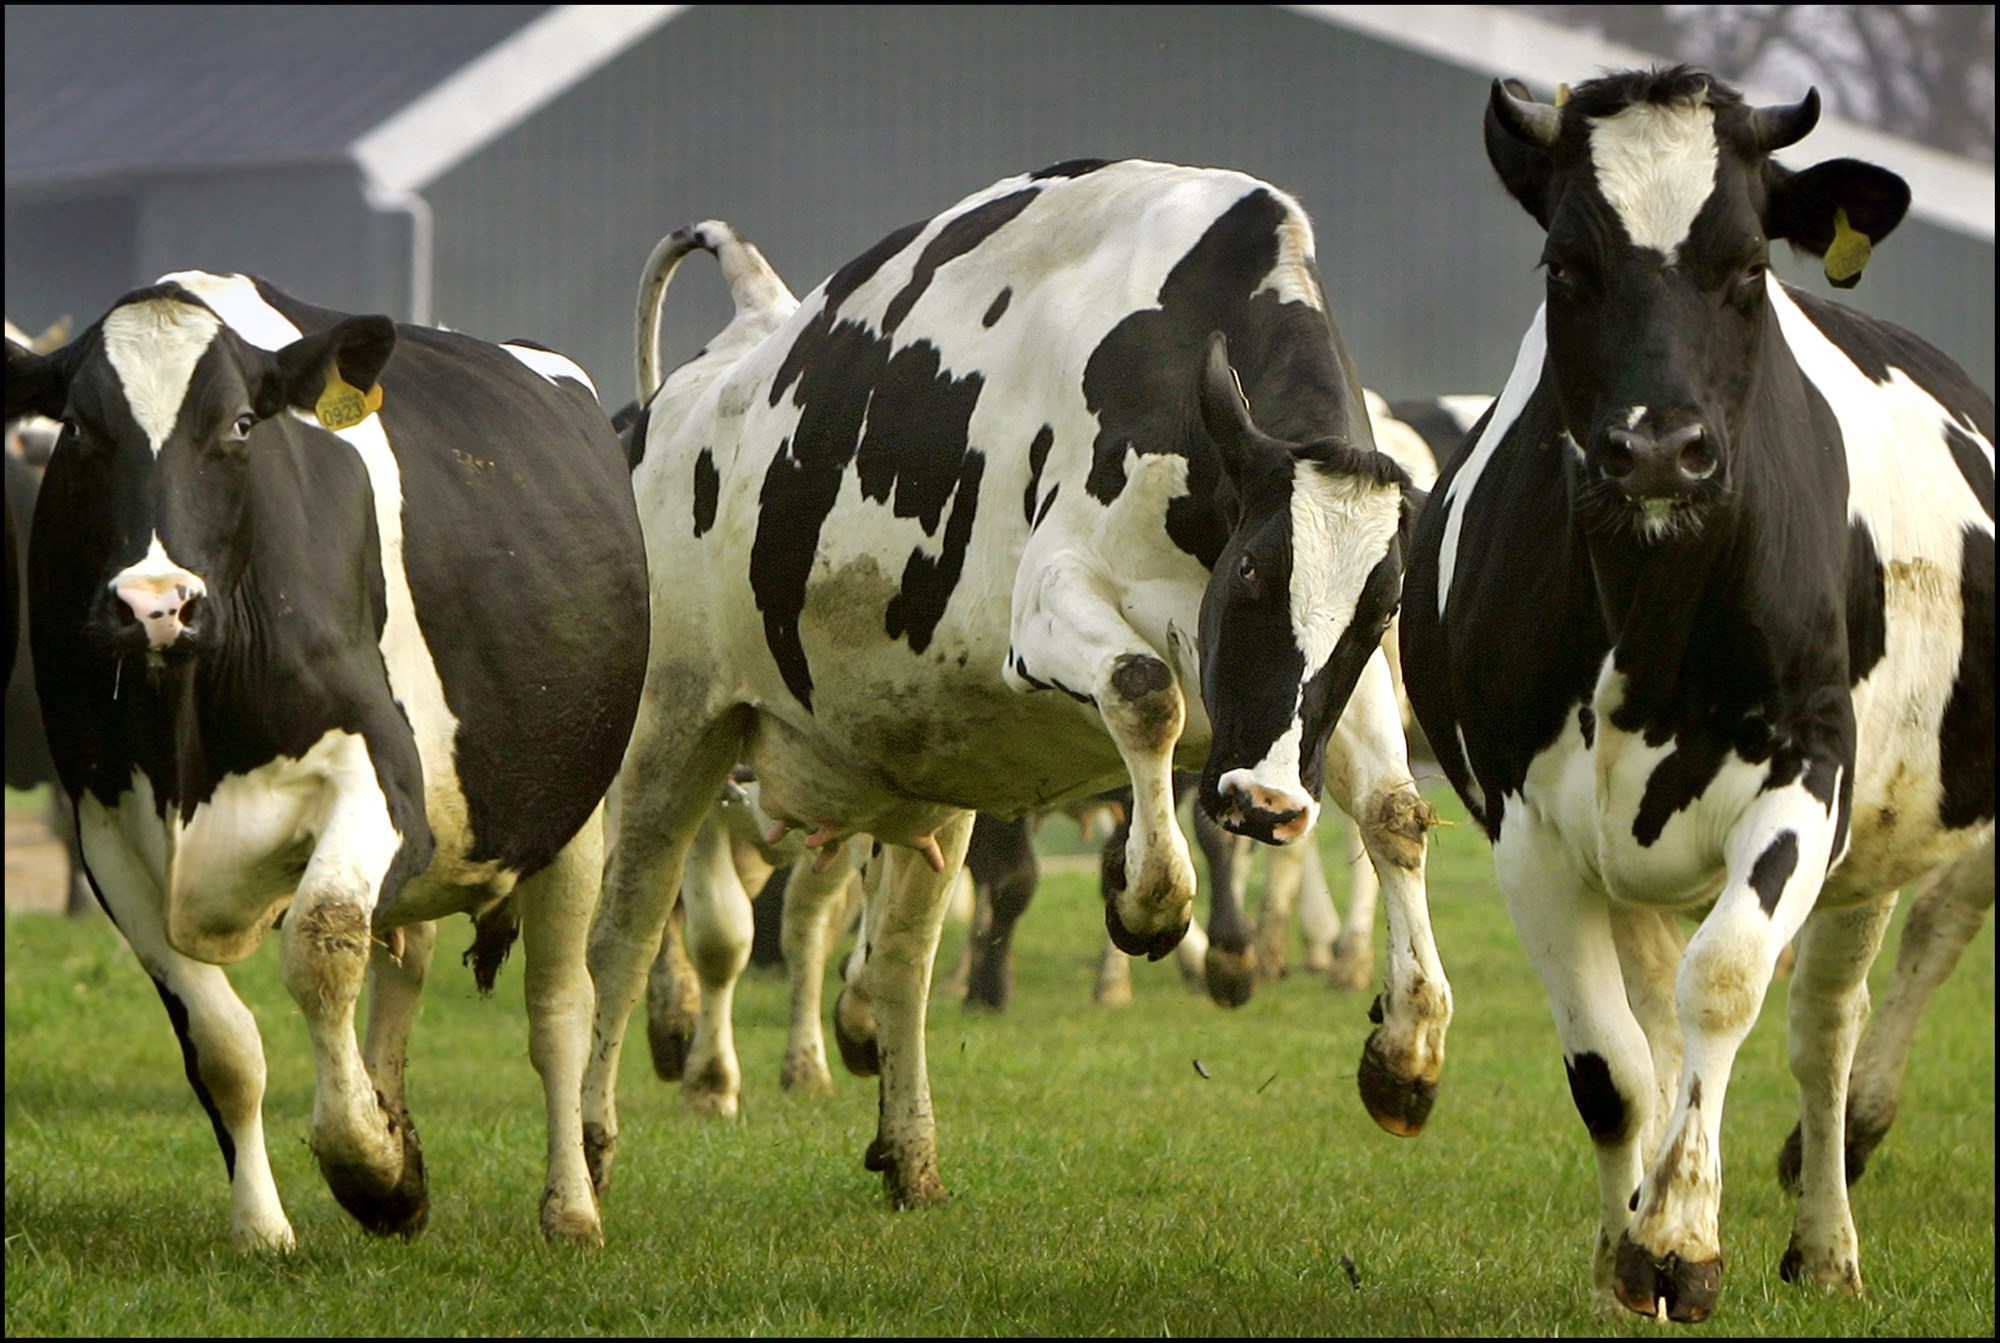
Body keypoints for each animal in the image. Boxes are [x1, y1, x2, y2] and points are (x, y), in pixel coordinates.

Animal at [5, 273, 649, 1249]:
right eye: (78, 427)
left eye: (240, 424)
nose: (154, 603)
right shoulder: (106, 825)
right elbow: (222, 1044)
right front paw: (272, 1222)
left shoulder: (378, 777)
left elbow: (321, 942)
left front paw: (369, 1168)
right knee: (406, 963)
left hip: (575, 809)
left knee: (559, 1007)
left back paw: (570, 1206)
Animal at [583, 159, 1454, 1209]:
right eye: (1253, 571)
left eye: (1382, 606)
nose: (1268, 801)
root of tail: (739, 347)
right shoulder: (1048, 605)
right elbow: (1145, 693)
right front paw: (1144, 899)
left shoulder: (1320, 704)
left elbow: (1395, 813)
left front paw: (1406, 1052)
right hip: (672, 730)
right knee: (628, 935)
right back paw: (591, 1149)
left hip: (925, 766)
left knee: (901, 959)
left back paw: (907, 1148)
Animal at [1400, 67, 1994, 1321]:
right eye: (1563, 266)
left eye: (1747, 265)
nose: (1657, 451)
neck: (1650, 613)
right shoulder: (1526, 824)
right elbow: (1611, 1068)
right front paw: (1629, 1255)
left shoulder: (1808, 772)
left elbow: (1723, 981)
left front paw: (1679, 1237)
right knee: (1659, 1028)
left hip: (1870, 842)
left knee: (1821, 1029)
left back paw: (1823, 1241)